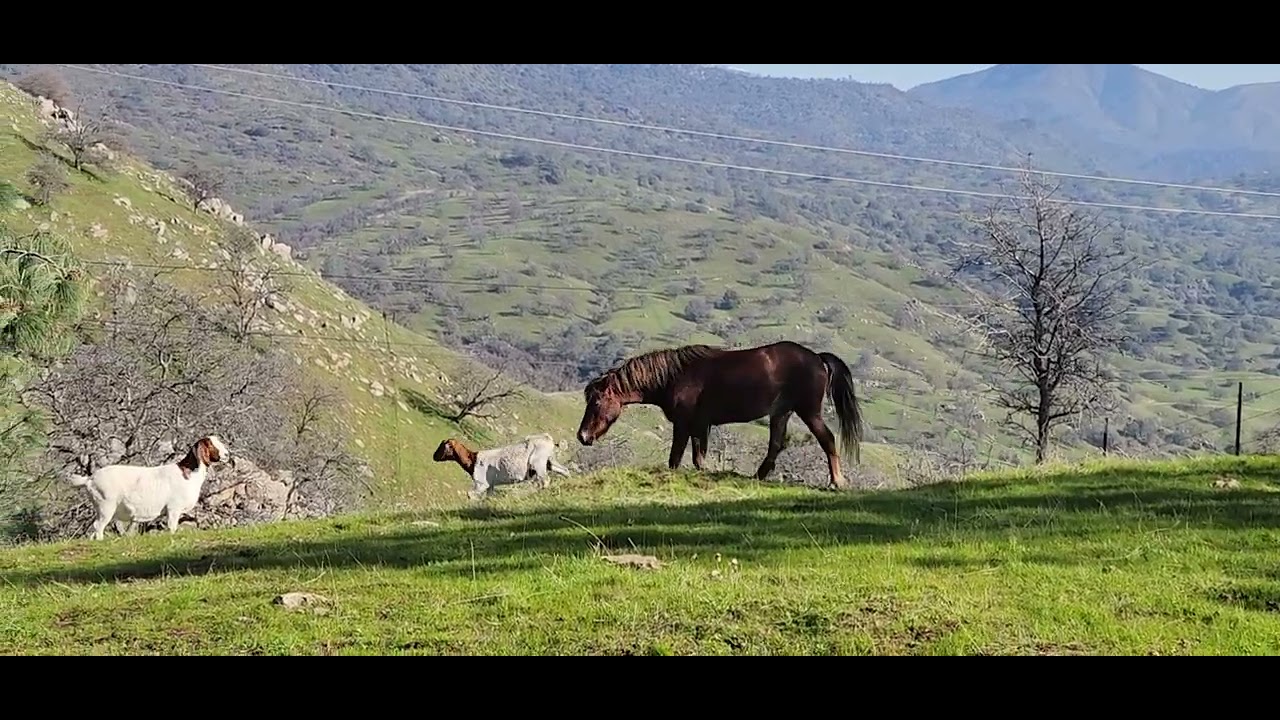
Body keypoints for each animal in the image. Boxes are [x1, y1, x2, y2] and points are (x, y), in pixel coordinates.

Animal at [67, 435, 233, 540]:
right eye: (210, 444)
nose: (227, 454)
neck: (188, 474)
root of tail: (90, 479)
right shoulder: (173, 508)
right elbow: (172, 527)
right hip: (106, 505)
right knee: (98, 526)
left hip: (99, 507)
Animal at [433, 434, 571, 500]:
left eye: (442, 447)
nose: (434, 456)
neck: (473, 459)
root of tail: (549, 439)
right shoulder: (490, 485)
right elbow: (489, 497)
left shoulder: (481, 483)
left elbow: (469, 494)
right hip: (550, 461)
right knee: (565, 470)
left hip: (537, 462)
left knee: (545, 480)